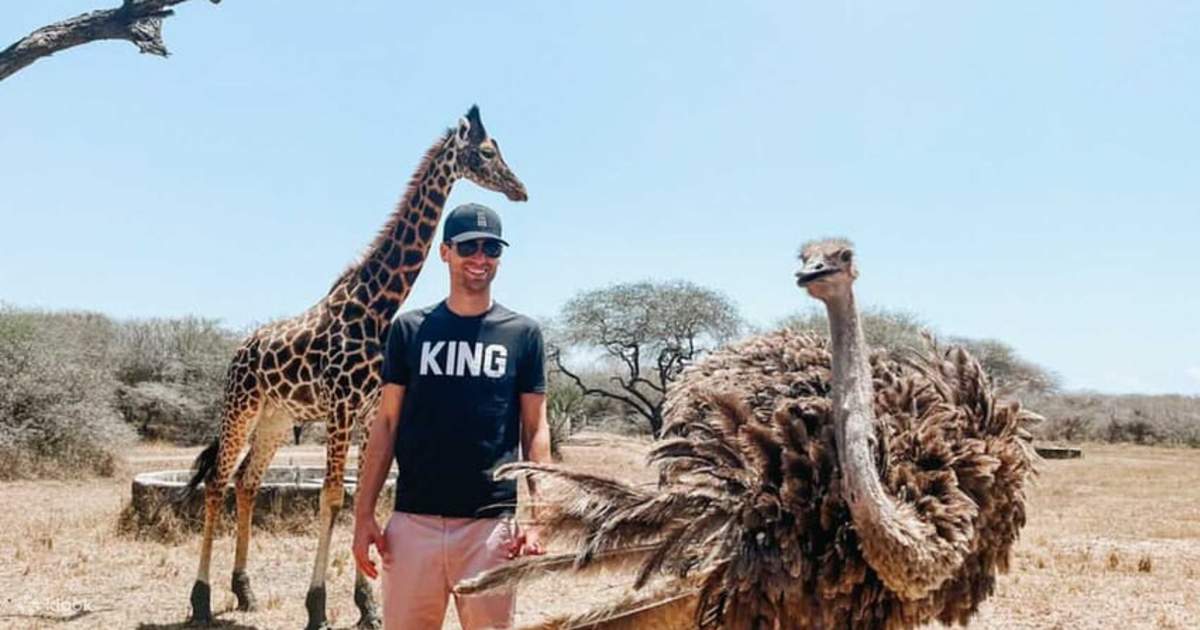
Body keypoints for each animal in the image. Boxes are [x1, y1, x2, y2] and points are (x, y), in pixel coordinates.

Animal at [182, 105, 528, 630]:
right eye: (488, 152)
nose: (520, 189)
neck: (377, 305)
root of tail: (240, 349)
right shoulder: (341, 408)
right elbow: (331, 496)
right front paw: (317, 607)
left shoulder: (368, 413)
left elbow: (363, 495)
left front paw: (368, 607)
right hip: (240, 406)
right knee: (217, 483)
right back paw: (200, 600)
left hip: (276, 418)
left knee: (247, 482)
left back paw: (244, 591)